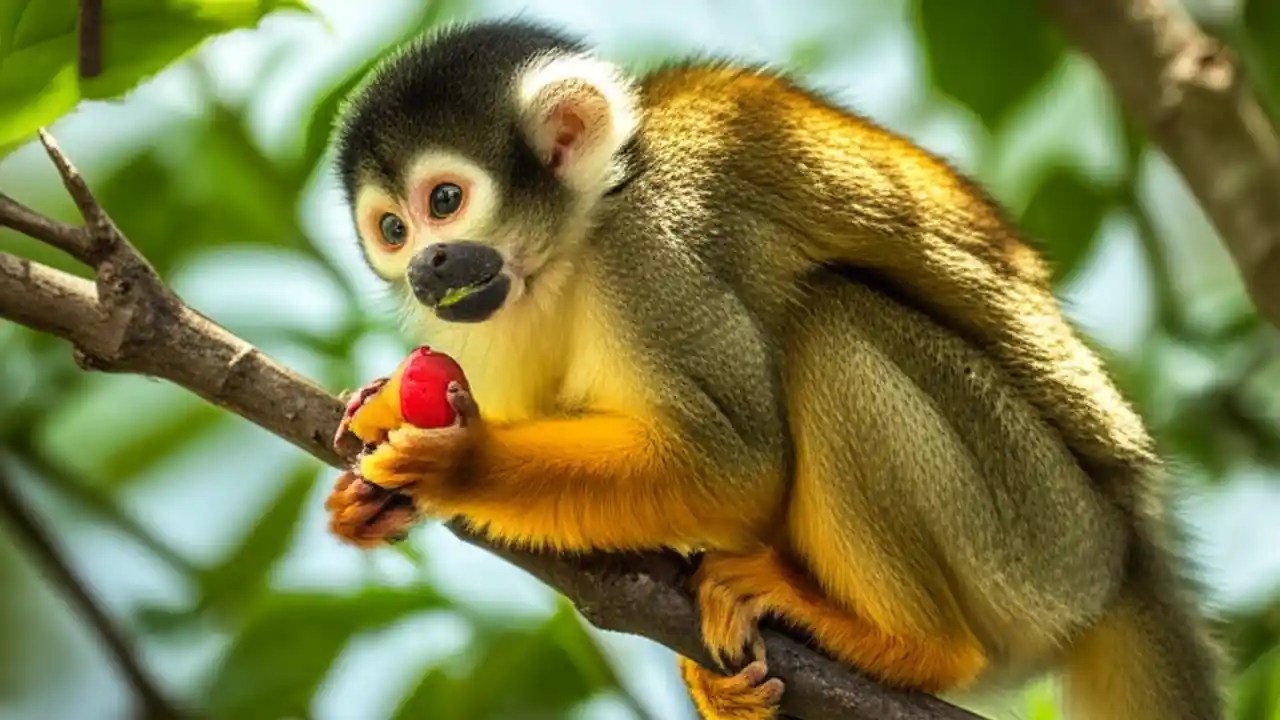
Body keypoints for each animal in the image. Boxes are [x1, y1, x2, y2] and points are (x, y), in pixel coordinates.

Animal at [328, 19, 1225, 720]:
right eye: (392, 229)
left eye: (445, 202)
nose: (428, 268)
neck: (574, 243)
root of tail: (1129, 552)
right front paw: (378, 489)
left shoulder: (652, 256)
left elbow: (738, 465)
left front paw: (460, 462)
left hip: (1039, 533)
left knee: (829, 328)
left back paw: (912, 644)